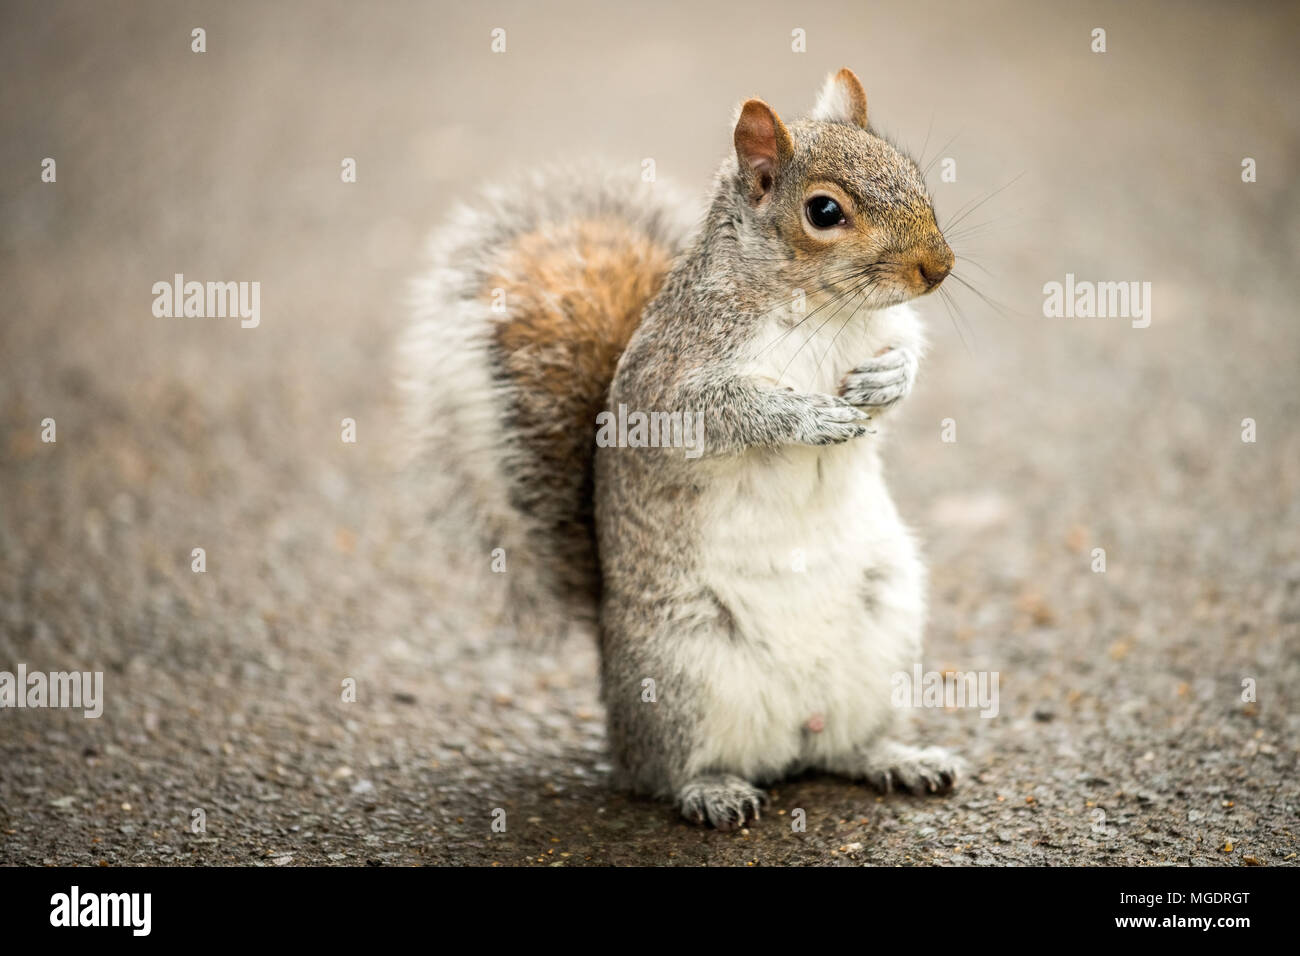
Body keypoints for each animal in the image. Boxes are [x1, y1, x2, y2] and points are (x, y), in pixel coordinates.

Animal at [402, 68, 964, 829]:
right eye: (824, 212)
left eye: (912, 171)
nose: (939, 267)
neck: (824, 310)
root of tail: (793, 734)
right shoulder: (669, 382)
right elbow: (721, 412)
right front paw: (807, 415)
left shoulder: (886, 328)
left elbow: (905, 351)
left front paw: (887, 379)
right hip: (678, 671)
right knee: (666, 771)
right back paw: (713, 791)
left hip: (885, 634)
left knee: (846, 747)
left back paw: (897, 759)